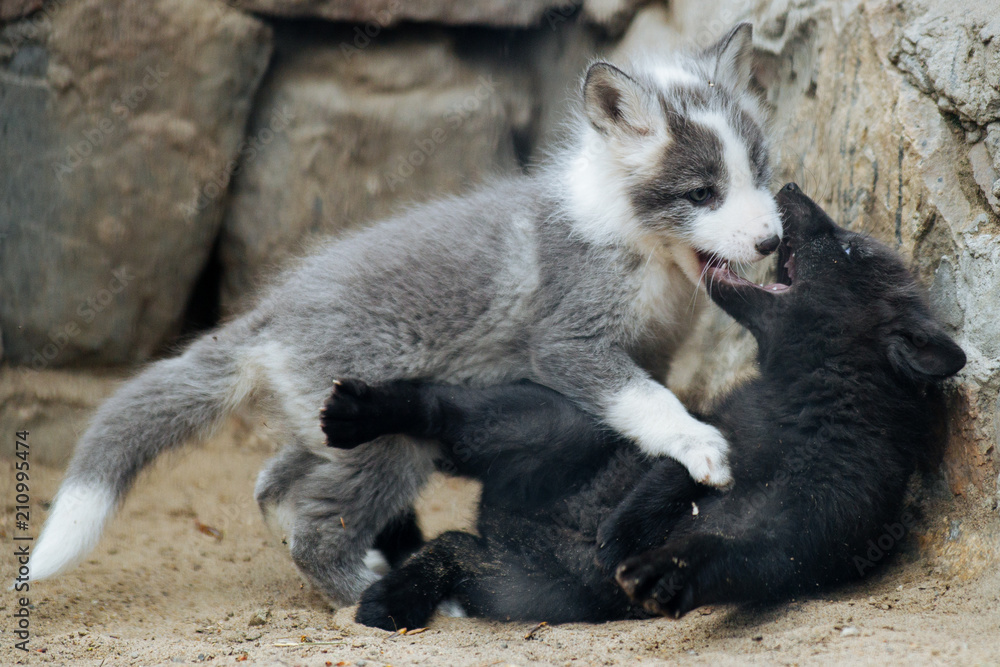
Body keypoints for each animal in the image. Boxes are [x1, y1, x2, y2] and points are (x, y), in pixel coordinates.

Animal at [29, 23, 783, 605]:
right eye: (702, 193)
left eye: (760, 174)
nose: (773, 241)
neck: (632, 243)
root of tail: (274, 311)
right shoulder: (568, 345)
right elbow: (650, 401)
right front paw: (698, 445)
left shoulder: (643, 351)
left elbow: (642, 406)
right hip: (387, 441)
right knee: (315, 529)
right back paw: (364, 593)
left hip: (329, 426)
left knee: (271, 483)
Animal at [320, 183, 966, 627]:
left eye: (850, 249)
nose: (787, 188)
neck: (801, 412)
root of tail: (501, 520)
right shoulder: (716, 429)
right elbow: (670, 475)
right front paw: (620, 533)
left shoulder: (799, 533)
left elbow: (719, 547)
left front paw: (656, 567)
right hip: (554, 424)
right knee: (437, 409)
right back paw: (356, 413)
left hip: (525, 585)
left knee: (449, 549)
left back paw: (391, 598)